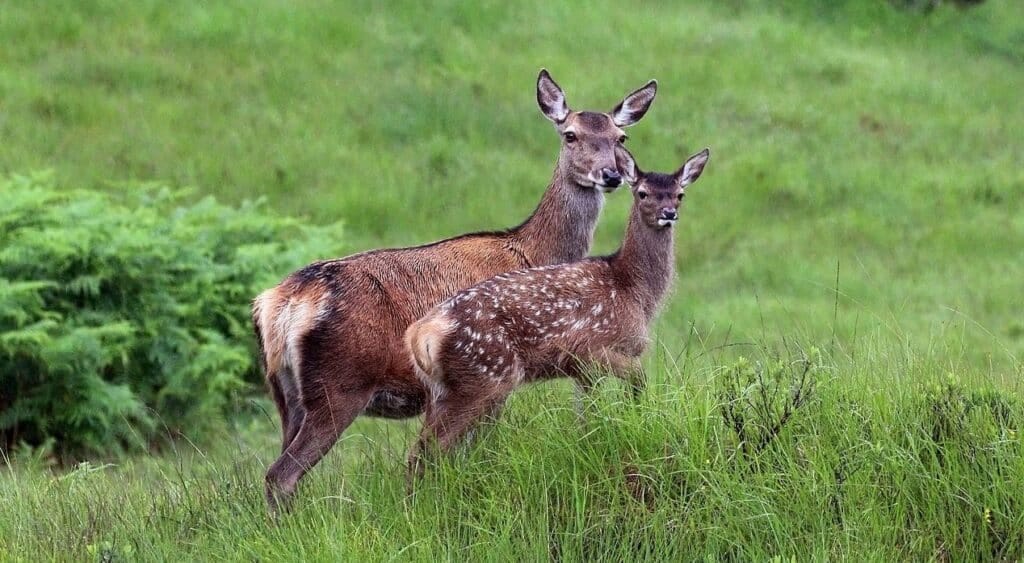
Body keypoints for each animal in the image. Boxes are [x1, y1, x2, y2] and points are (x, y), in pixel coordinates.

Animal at [252, 69, 658, 513]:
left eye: (621, 137)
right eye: (570, 135)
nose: (611, 175)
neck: (532, 252)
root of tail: (283, 302)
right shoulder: (493, 376)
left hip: (285, 392)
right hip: (340, 384)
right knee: (282, 475)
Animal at [405, 147, 711, 478]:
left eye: (680, 194)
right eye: (642, 193)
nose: (668, 213)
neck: (633, 291)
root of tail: (421, 334)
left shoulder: (583, 371)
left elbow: (587, 416)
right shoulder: (593, 347)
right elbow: (639, 379)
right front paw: (636, 418)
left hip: (445, 387)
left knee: (422, 449)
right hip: (483, 375)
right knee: (430, 449)